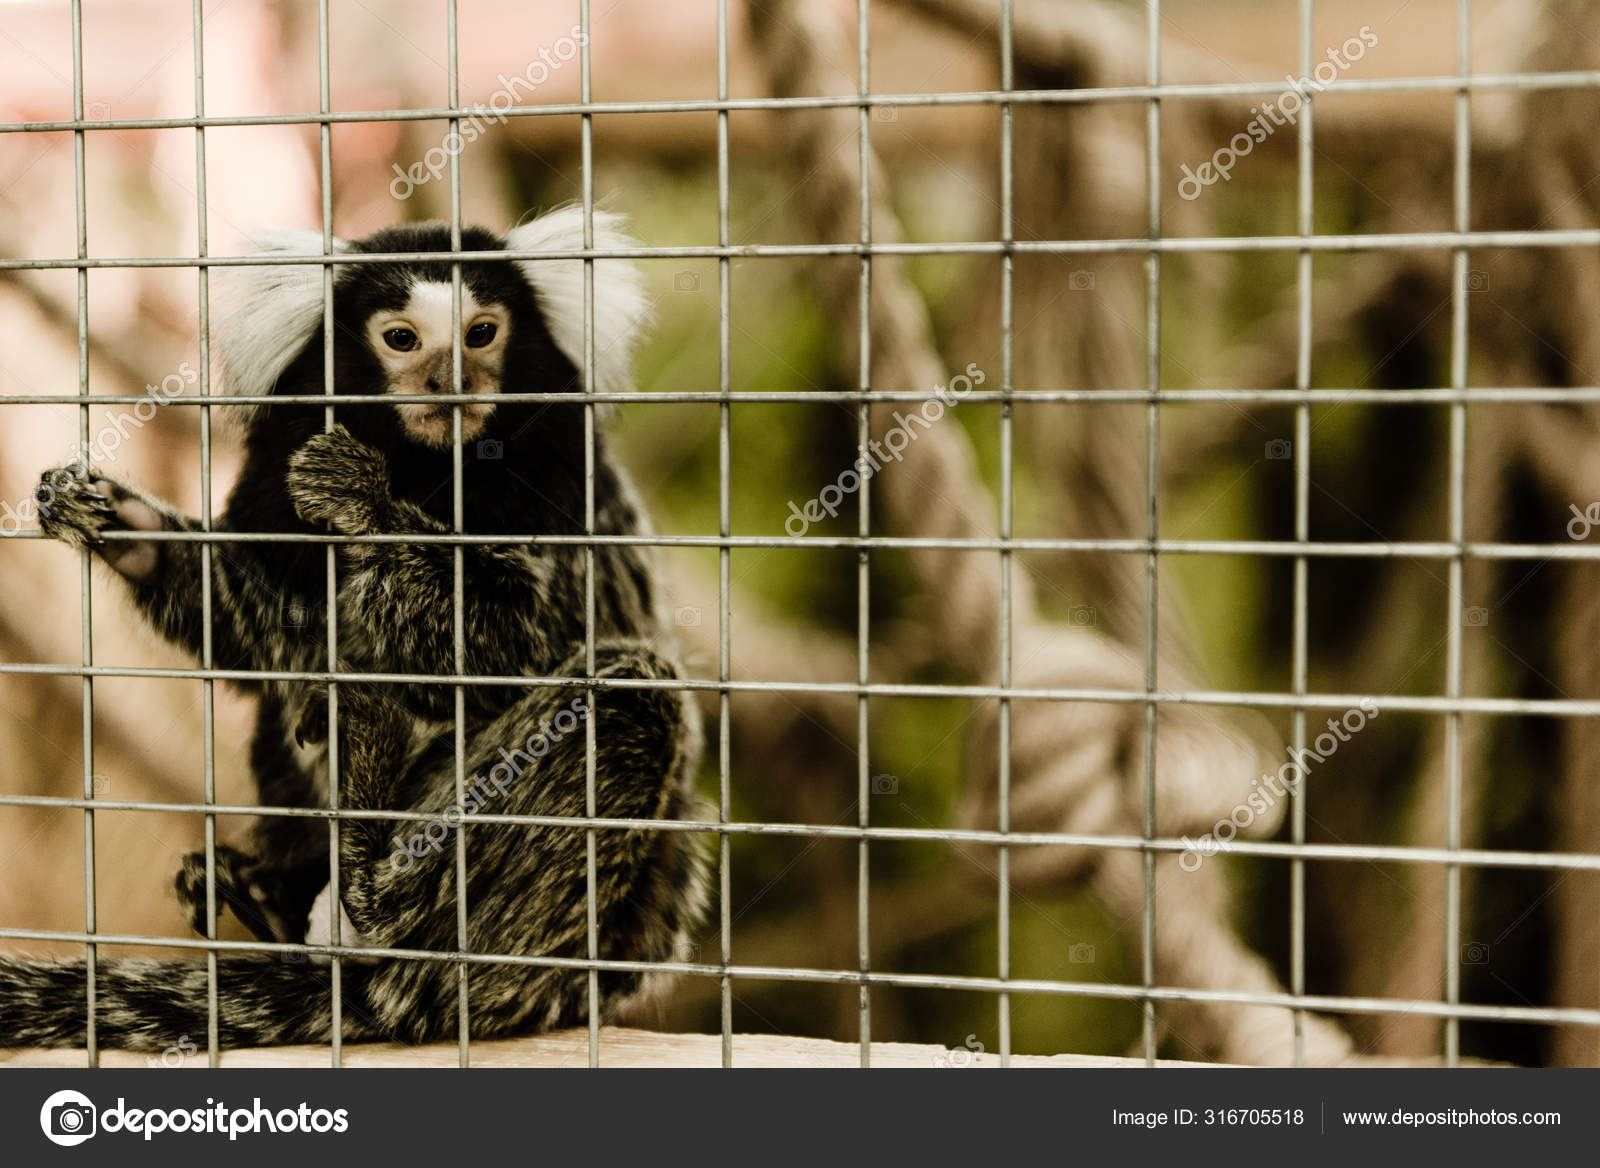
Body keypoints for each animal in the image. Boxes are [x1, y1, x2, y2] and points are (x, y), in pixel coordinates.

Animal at [0, 208, 709, 1052]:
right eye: (401, 339)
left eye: (481, 332)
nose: (452, 383)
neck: (424, 468)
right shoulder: (270, 487)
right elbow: (263, 645)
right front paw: (129, 530)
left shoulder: (565, 483)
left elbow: (526, 644)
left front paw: (361, 500)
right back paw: (265, 898)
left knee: (626, 696)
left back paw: (373, 897)